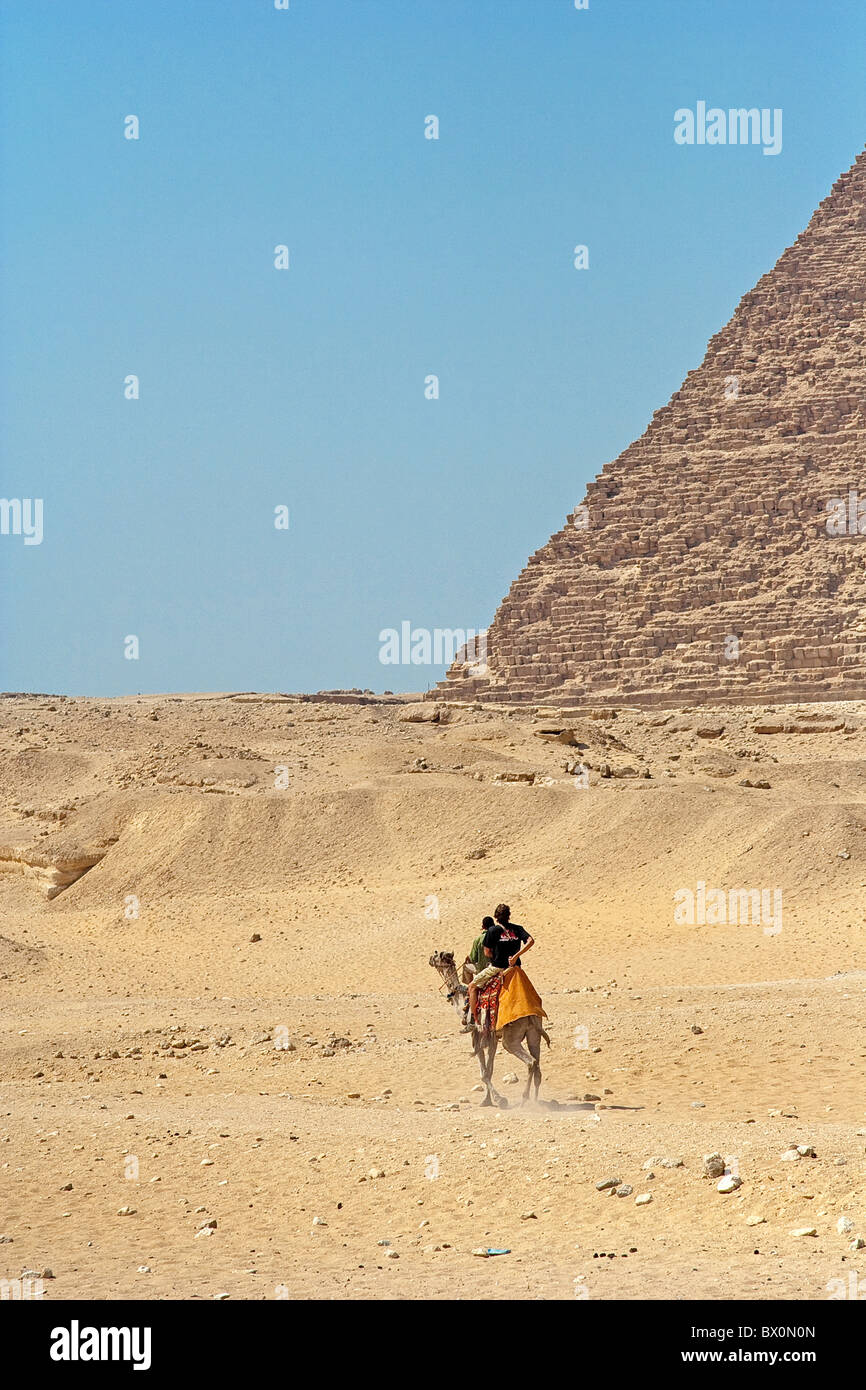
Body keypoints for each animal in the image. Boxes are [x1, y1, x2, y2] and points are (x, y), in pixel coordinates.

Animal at [429, 950, 550, 1106]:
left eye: (437, 955)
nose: (430, 959)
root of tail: (531, 1014)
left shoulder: (477, 1036)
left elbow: (484, 1073)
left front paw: (499, 1099)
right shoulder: (492, 1037)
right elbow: (490, 1070)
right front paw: (487, 1100)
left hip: (510, 1039)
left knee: (531, 1062)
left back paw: (524, 1100)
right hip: (534, 1034)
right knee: (537, 1068)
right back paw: (536, 1102)